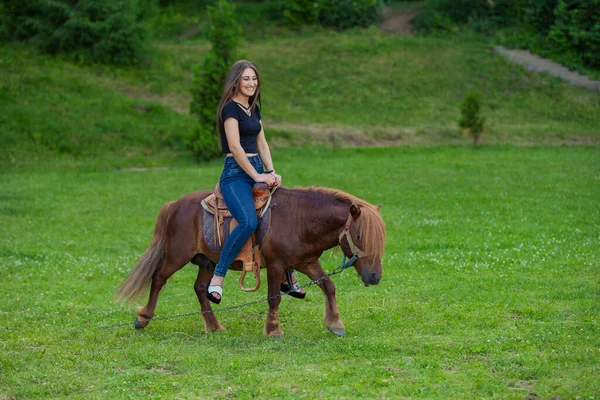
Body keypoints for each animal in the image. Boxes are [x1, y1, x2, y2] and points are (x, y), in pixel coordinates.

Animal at [118, 186, 386, 336]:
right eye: (360, 236)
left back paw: (213, 326)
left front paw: (335, 324)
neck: (300, 220)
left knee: (200, 288)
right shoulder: (276, 265)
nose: (375, 276)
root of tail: (175, 205)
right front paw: (273, 330)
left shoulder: (306, 263)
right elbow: (274, 297)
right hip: (177, 255)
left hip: (208, 261)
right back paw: (143, 318)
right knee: (158, 279)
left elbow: (329, 287)